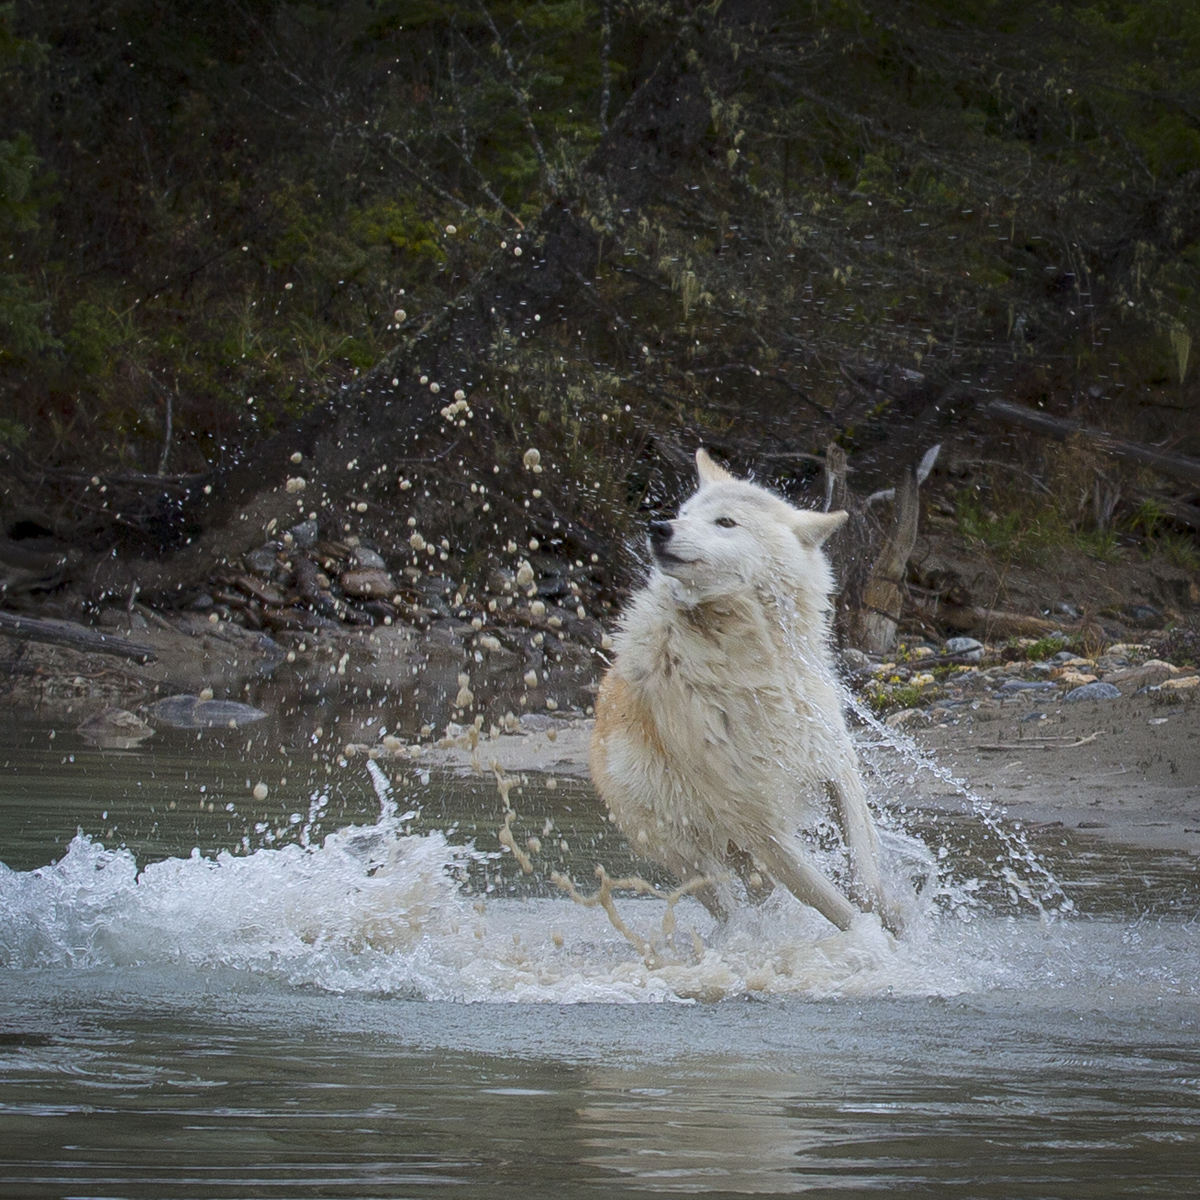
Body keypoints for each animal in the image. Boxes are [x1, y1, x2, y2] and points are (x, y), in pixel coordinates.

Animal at [590, 449, 897, 933]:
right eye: (683, 515)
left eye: (726, 522)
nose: (659, 528)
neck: (750, 667)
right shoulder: (761, 823)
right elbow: (834, 905)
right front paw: (874, 941)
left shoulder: (836, 764)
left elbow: (863, 868)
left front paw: (891, 915)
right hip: (694, 856)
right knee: (732, 908)